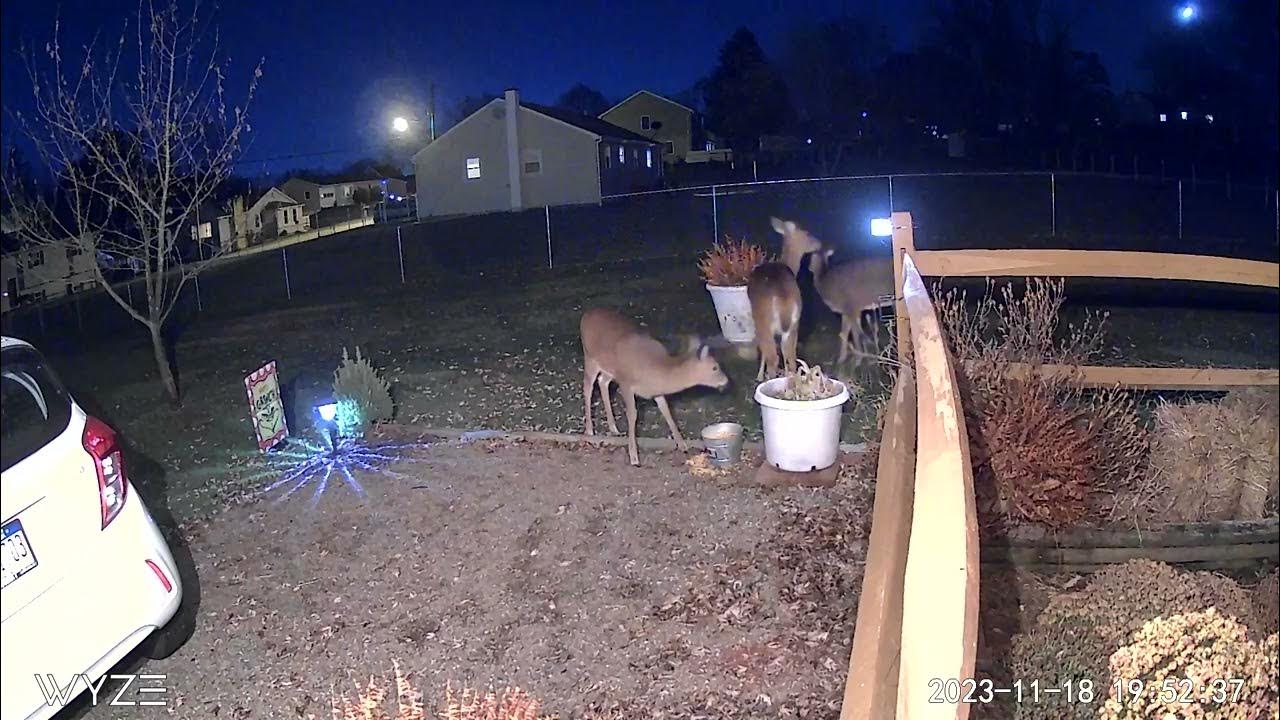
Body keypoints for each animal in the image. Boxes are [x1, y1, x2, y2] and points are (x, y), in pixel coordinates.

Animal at [580, 307, 730, 466]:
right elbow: (632, 414)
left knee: (602, 381)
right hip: (590, 356)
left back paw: (613, 427)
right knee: (588, 388)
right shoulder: (626, 382)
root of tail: (587, 314)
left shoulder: (655, 391)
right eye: (715, 367)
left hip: (609, 369)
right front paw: (634, 457)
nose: (726, 381)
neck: (656, 367)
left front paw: (682, 445)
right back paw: (590, 430)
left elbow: (666, 410)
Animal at [747, 217, 824, 380]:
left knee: (773, 357)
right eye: (807, 233)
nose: (819, 243)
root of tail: (782, 297)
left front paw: (759, 376)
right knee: (790, 356)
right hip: (795, 323)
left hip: (764, 321)